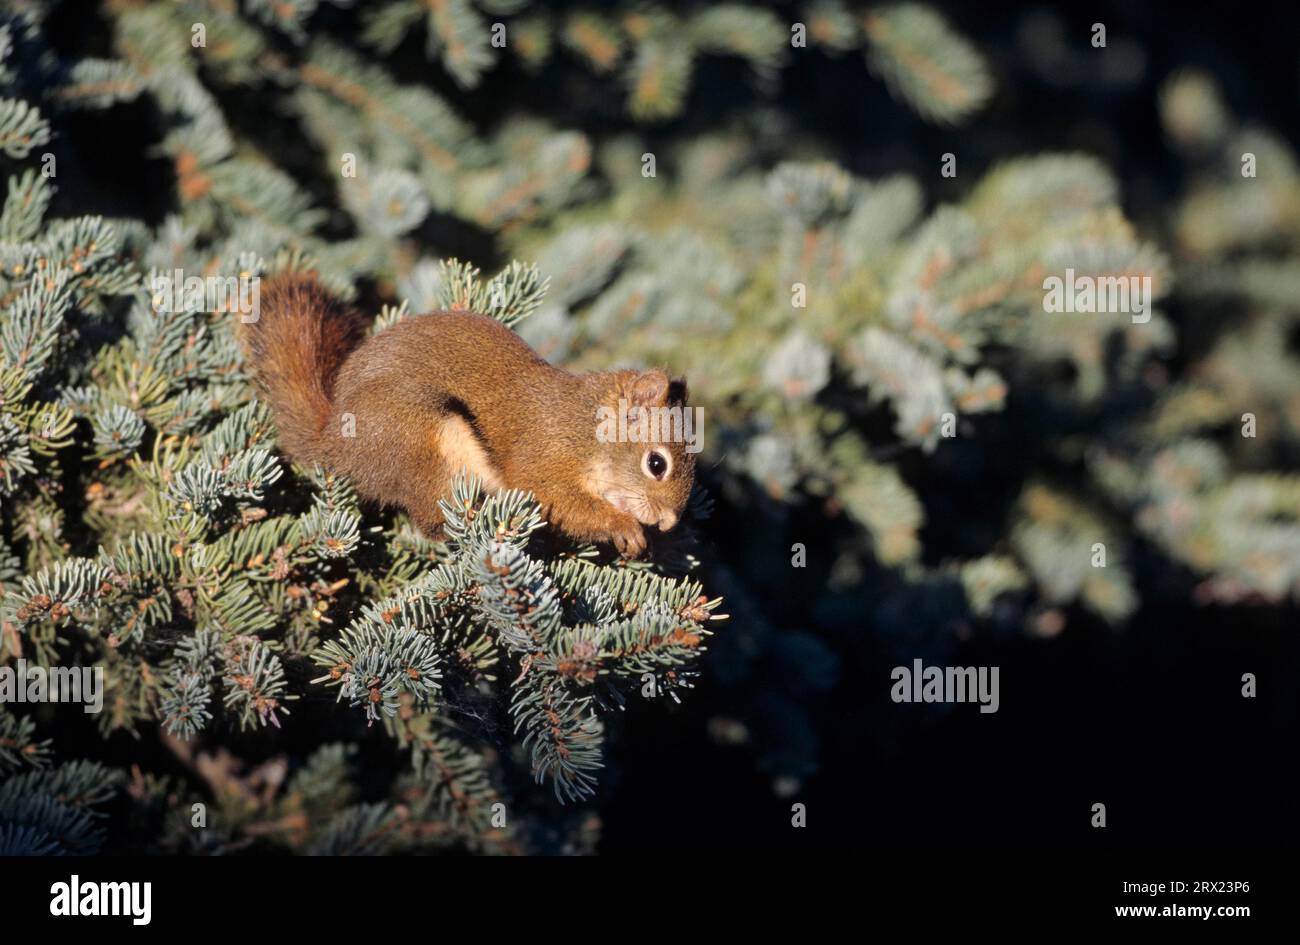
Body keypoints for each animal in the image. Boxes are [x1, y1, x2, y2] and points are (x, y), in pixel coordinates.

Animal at [242, 272, 695, 558]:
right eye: (657, 464)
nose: (670, 523)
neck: (587, 427)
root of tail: (334, 442)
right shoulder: (545, 457)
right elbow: (561, 501)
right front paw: (623, 527)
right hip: (423, 440)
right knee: (429, 520)